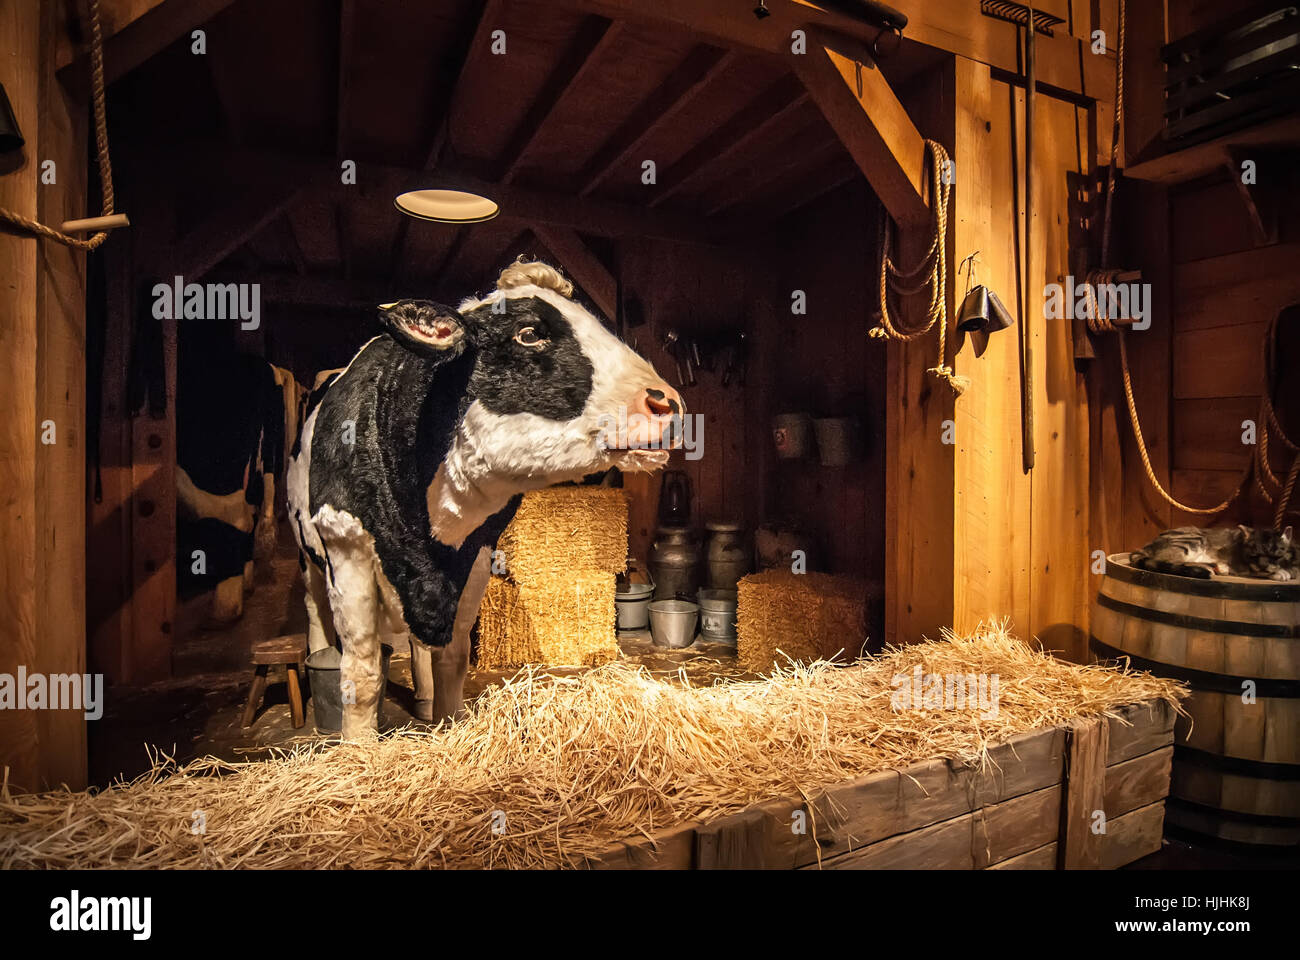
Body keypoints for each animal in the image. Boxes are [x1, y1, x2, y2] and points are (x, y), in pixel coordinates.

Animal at [288, 260, 684, 738]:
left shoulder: (475, 553)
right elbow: (361, 672)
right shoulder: (346, 544)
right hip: (309, 558)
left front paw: (449, 726)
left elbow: (453, 659)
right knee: (316, 614)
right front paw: (359, 746)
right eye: (528, 333)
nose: (668, 403)